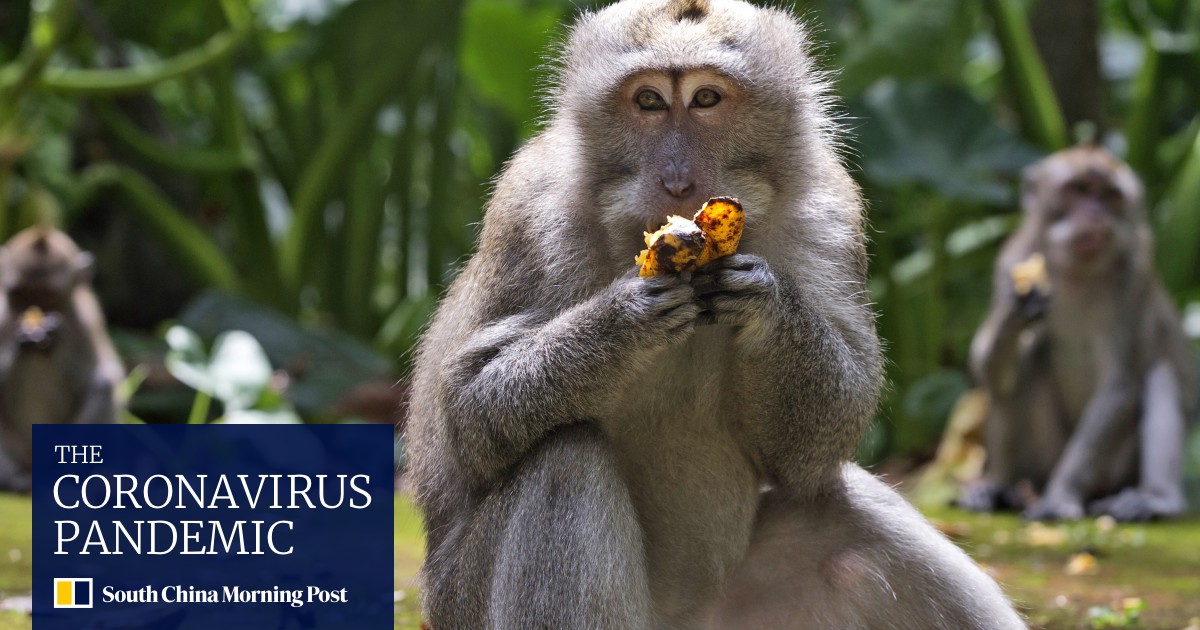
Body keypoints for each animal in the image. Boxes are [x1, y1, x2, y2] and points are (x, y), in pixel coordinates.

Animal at [0, 226, 124, 491]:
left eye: (49, 297)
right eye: (21, 295)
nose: (34, 310)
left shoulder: (86, 321)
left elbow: (102, 374)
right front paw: (24, 341)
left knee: (103, 385)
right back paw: (12, 479)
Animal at [405, 0, 1025, 628]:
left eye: (706, 99)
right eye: (649, 101)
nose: (679, 181)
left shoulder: (830, 210)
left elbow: (815, 447)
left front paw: (768, 305)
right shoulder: (530, 211)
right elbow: (469, 412)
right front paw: (621, 321)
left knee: (848, 510)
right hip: (463, 600)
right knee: (564, 460)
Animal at [960, 145, 1198, 522]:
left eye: (1110, 196)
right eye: (1079, 190)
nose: (1096, 215)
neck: (1075, 271)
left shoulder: (1133, 277)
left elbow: (1119, 385)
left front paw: (1060, 496)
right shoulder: (1011, 258)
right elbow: (986, 369)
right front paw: (1018, 309)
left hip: (1116, 470)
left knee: (1161, 373)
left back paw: (1156, 497)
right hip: (1043, 460)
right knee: (1024, 368)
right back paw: (999, 485)